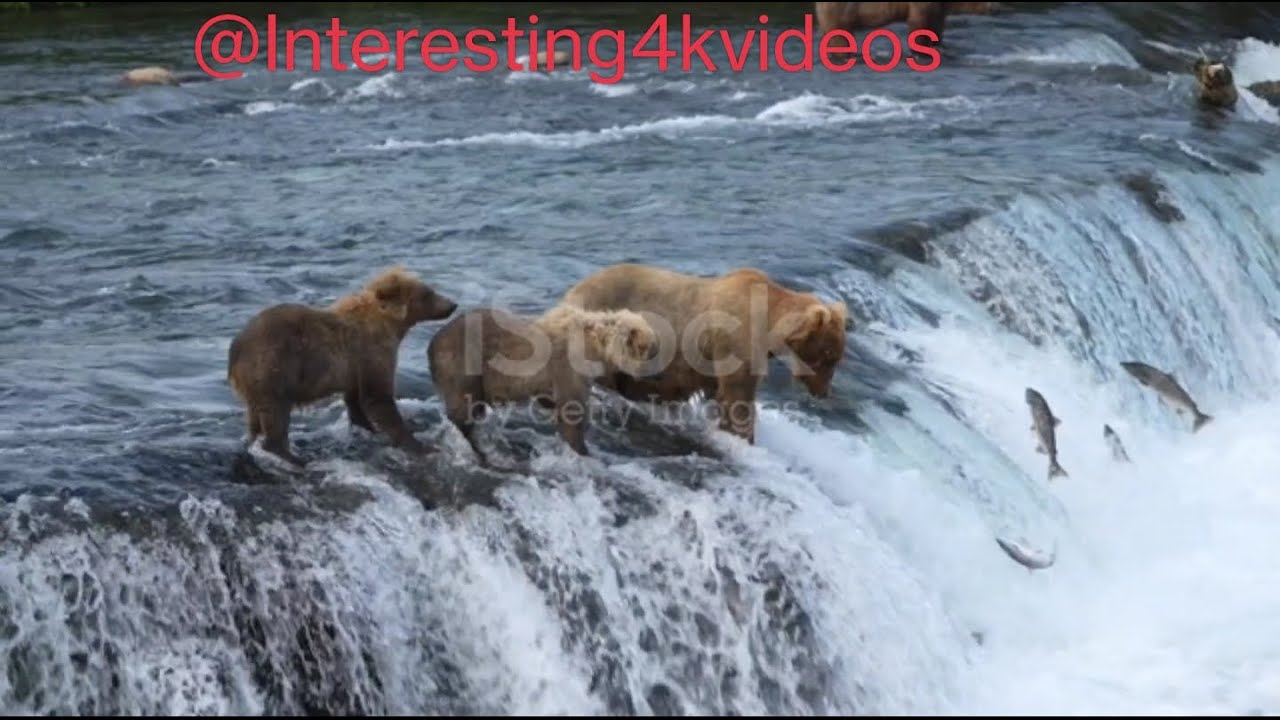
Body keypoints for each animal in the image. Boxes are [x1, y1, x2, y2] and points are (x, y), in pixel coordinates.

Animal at [226, 266, 458, 467]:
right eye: (427, 293)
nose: (452, 304)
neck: (388, 326)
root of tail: (235, 351)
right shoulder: (371, 356)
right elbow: (378, 398)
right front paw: (420, 445)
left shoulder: (353, 368)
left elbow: (355, 401)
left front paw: (367, 429)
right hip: (273, 368)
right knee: (276, 413)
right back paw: (296, 458)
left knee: (255, 418)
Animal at [427, 302, 658, 466]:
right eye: (649, 349)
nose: (654, 376)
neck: (596, 348)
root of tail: (432, 344)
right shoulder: (568, 367)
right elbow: (572, 410)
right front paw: (581, 448)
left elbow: (553, 399)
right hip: (465, 363)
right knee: (464, 407)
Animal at [557, 263, 850, 445]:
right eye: (828, 355)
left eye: (836, 357)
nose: (824, 392)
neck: (768, 323)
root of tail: (572, 291)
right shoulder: (736, 344)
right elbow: (738, 397)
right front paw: (744, 436)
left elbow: (718, 393)